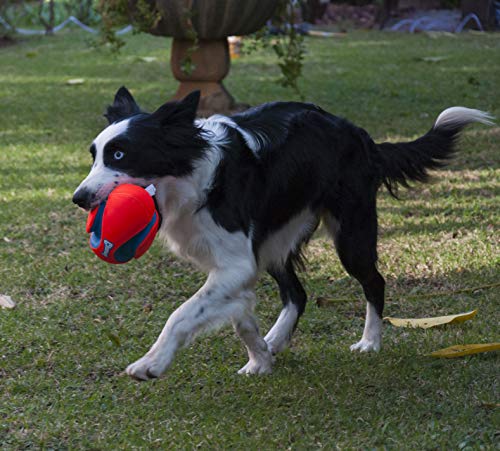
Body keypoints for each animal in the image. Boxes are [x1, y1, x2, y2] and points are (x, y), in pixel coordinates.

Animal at [72, 86, 490, 380]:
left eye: (120, 154)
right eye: (94, 155)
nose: (79, 198)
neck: (189, 175)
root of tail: (361, 136)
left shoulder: (236, 263)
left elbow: (182, 314)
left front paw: (151, 363)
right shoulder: (238, 265)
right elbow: (240, 316)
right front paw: (260, 358)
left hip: (350, 233)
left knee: (374, 281)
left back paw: (370, 341)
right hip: (275, 240)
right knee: (298, 293)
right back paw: (275, 340)